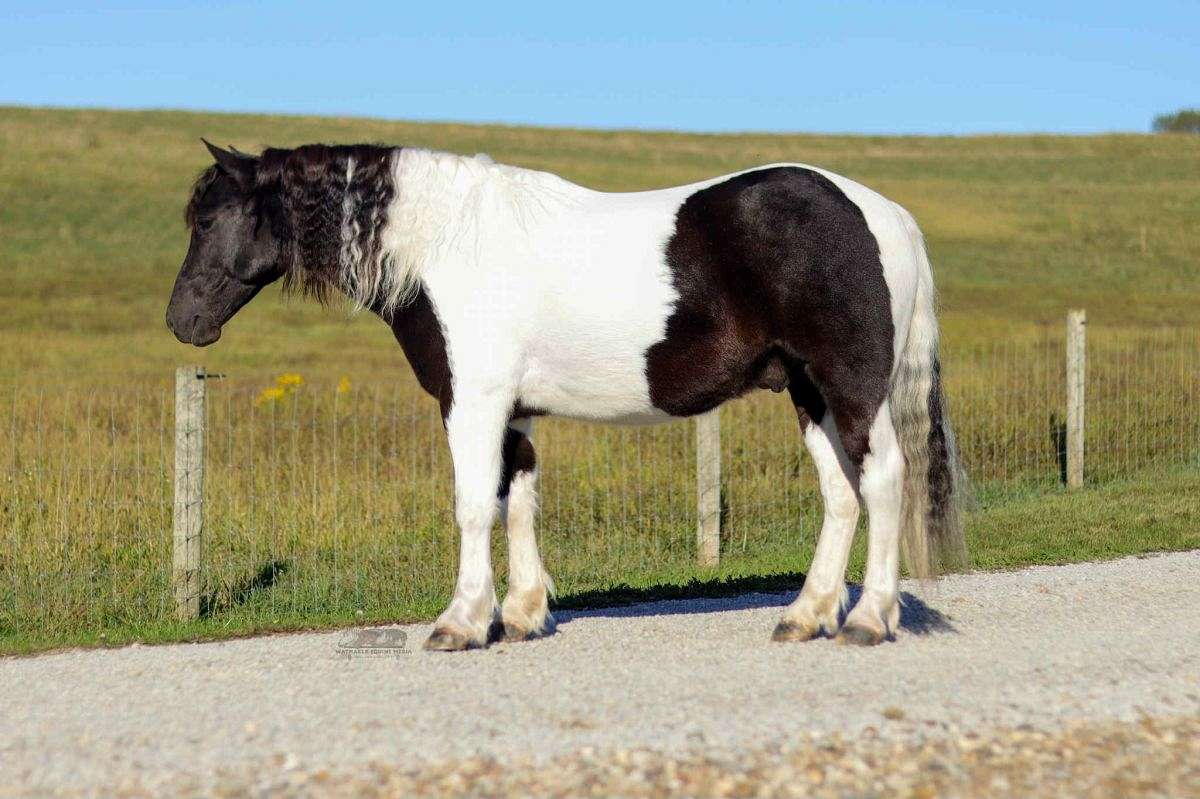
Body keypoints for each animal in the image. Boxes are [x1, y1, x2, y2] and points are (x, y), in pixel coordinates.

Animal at [167, 140, 966, 651]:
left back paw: (868, 619)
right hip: (808, 392)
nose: (183, 321)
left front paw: (461, 622)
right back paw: (806, 615)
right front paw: (522, 614)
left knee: (883, 482)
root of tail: (884, 213)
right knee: (841, 495)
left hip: (849, 387)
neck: (448, 245)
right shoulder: (513, 412)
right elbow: (518, 500)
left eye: (209, 219)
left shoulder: (472, 402)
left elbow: (472, 506)